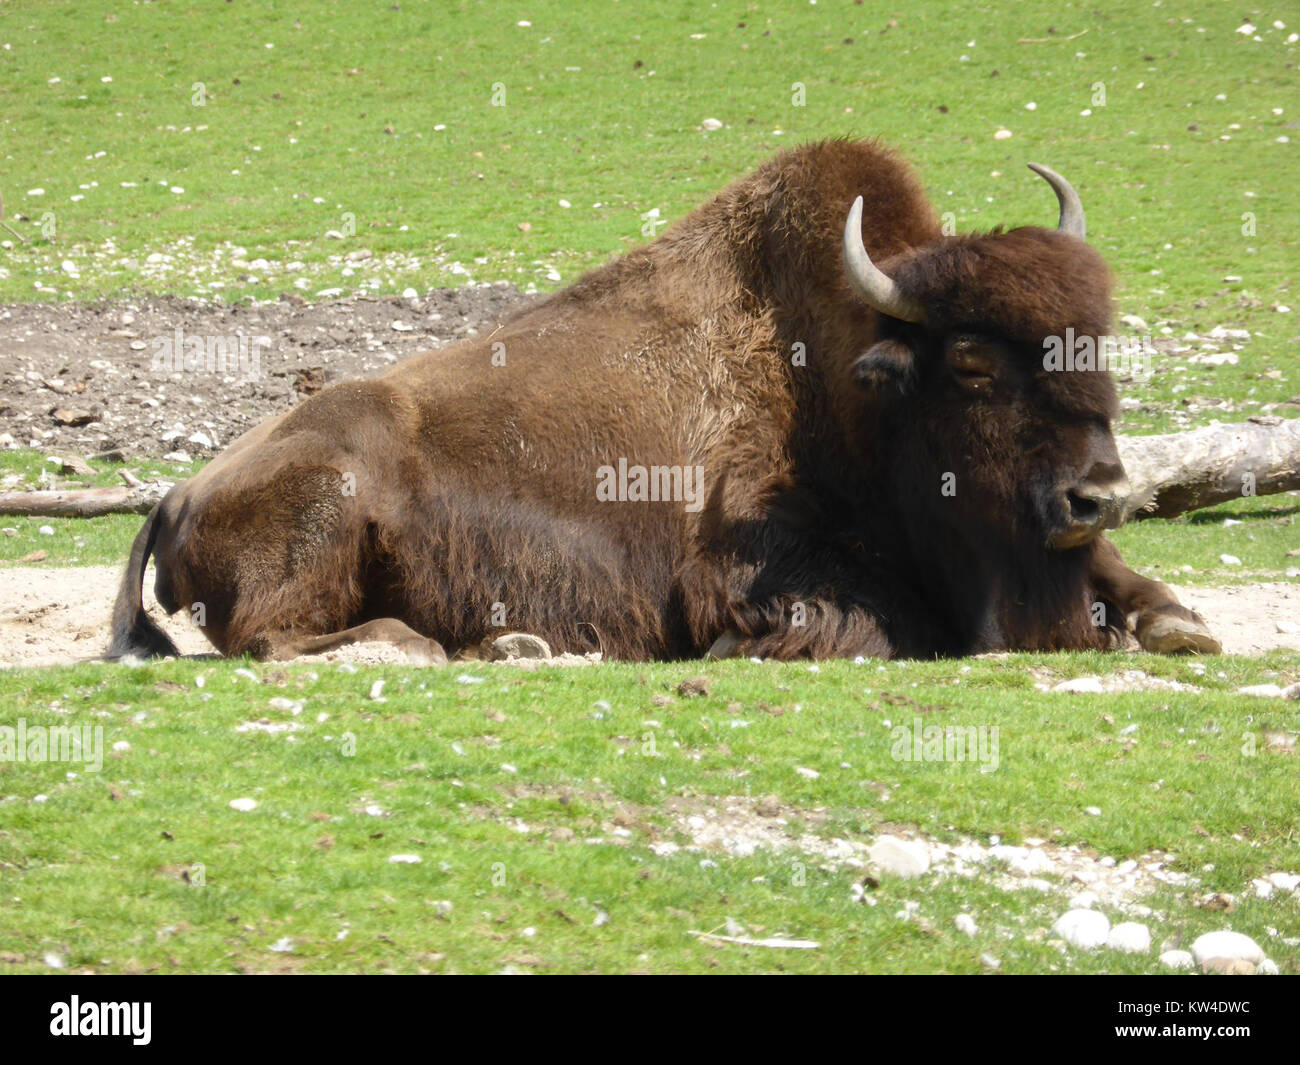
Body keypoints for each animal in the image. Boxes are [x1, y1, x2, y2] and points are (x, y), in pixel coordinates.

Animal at [109, 138, 1220, 663]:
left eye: (1093, 348)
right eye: (976, 368)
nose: (1097, 495)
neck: (844, 385)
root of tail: (177, 490)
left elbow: (1135, 587)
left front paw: (1176, 622)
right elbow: (860, 621)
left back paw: (510, 645)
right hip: (328, 508)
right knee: (283, 637)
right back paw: (449, 647)